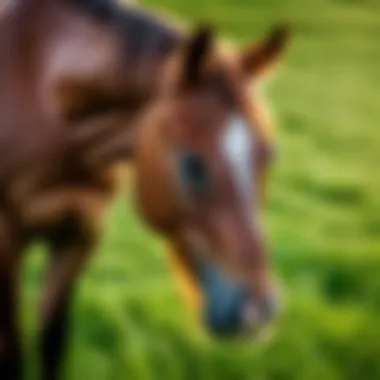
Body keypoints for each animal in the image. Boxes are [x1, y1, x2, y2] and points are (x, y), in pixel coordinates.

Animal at [0, 0, 290, 378]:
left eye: (268, 156)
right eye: (191, 162)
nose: (257, 313)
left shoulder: (79, 233)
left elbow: (52, 342)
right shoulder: (6, 238)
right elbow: (12, 353)